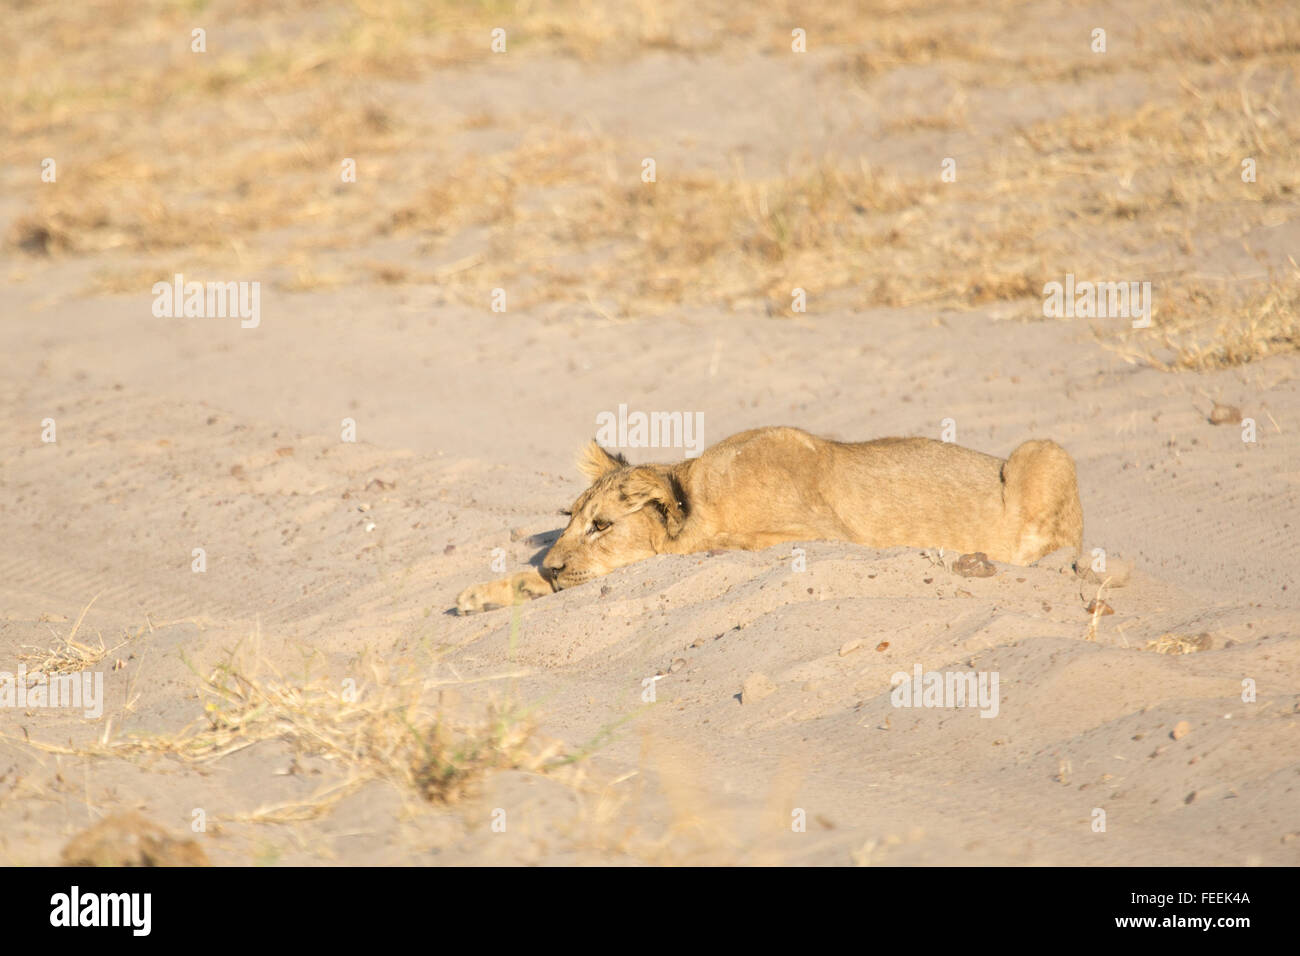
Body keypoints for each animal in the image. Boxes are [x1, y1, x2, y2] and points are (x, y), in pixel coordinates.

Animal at [454, 426, 1083, 614]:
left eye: (602, 526)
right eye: (570, 520)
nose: (557, 567)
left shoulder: (819, 531)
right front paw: (484, 594)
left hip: (1043, 452)